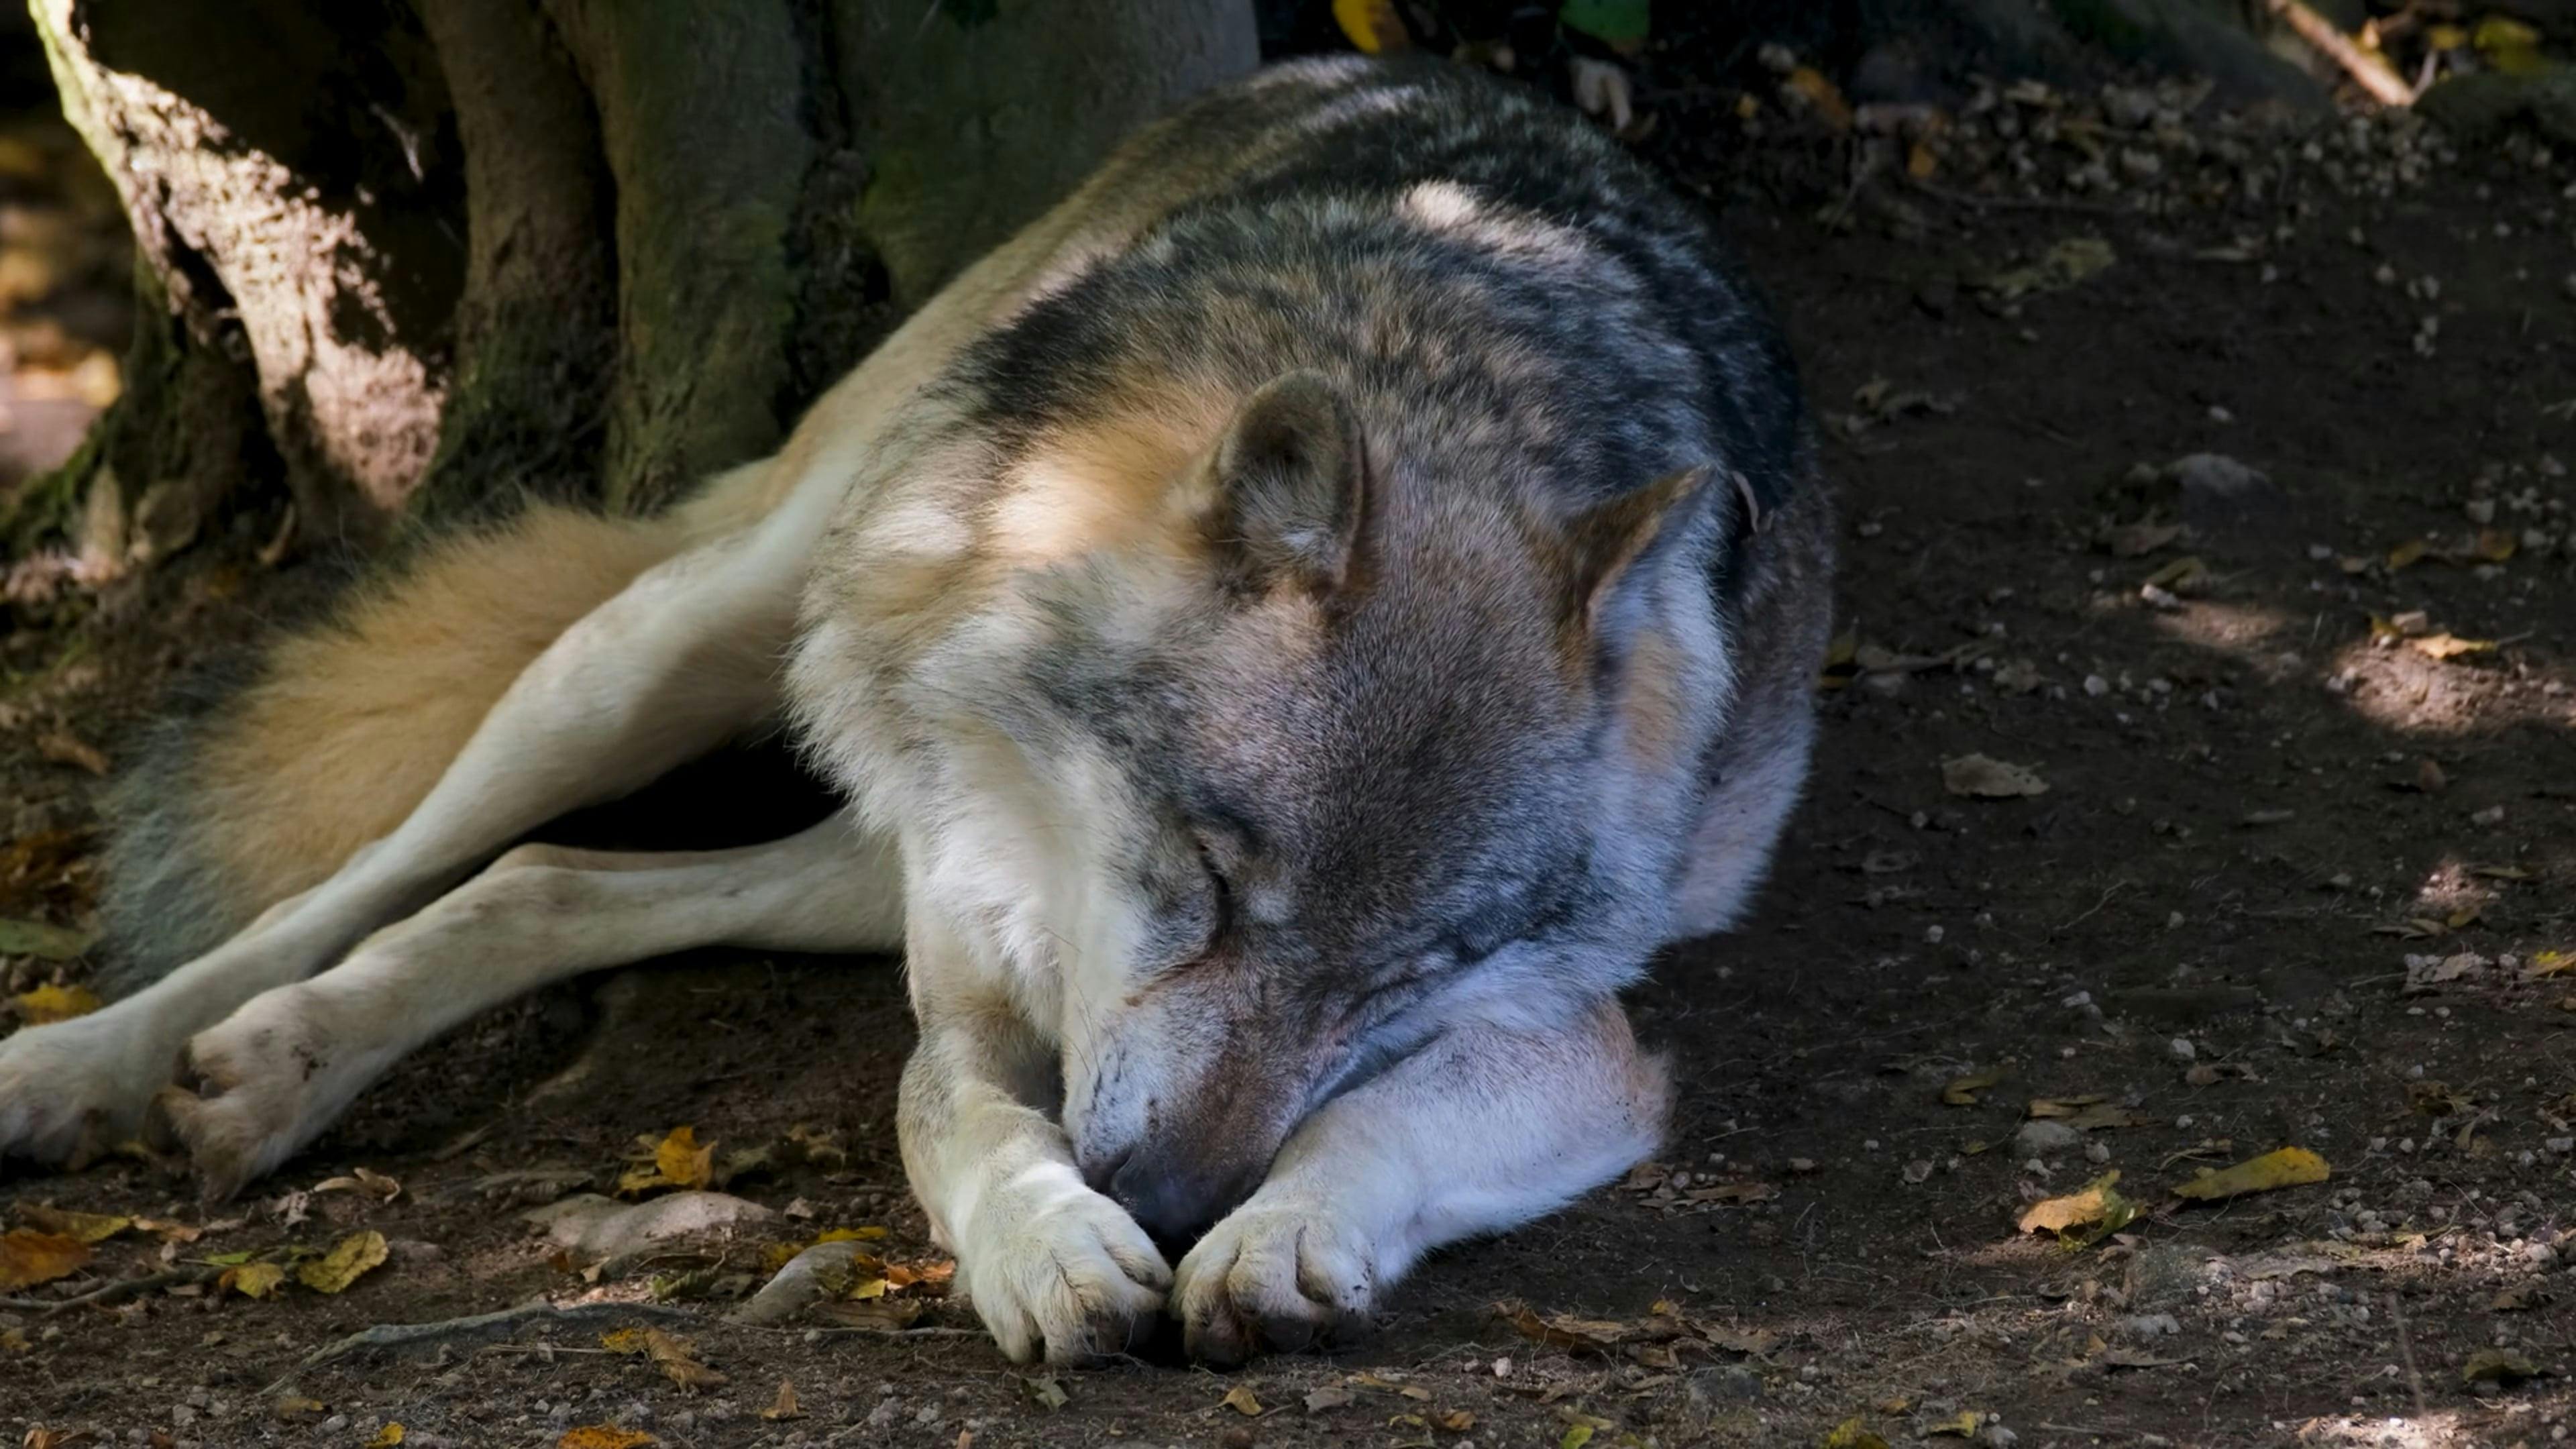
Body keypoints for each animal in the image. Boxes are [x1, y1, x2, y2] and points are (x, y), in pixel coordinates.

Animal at [0, 56, 1832, 1364]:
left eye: (1418, 971)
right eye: (1210, 879)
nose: (1176, 1202)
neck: (1436, 376)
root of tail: (1362, 70)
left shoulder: (1583, 1043)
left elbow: (1372, 1113)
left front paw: (1286, 1230)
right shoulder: (967, 1004)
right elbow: (949, 1117)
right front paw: (1049, 1244)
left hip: (858, 847)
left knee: (554, 880)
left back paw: (267, 1067)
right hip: (696, 636)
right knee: (400, 857)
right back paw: (103, 1059)